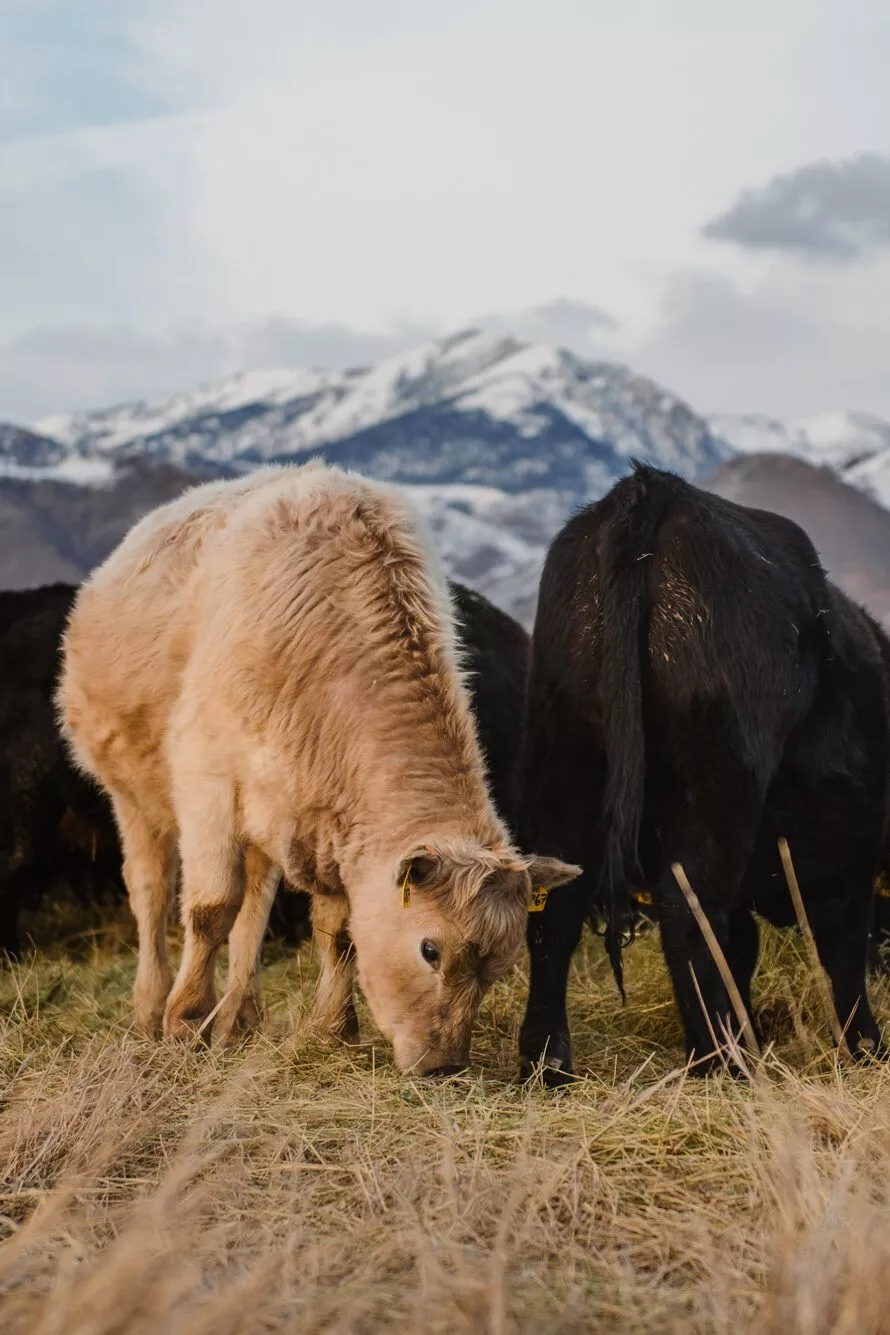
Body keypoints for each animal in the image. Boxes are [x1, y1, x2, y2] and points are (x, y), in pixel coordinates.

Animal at [58, 463, 577, 1072]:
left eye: (501, 964)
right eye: (429, 949)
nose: (445, 1066)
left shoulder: (325, 821)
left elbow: (337, 933)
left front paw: (331, 1030)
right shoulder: (208, 786)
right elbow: (211, 909)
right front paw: (184, 1021)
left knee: (254, 908)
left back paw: (241, 1017)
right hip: (134, 796)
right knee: (153, 893)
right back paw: (150, 1008)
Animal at [517, 463, 889, 1081]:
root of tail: (654, 488)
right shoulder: (850, 851)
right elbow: (841, 951)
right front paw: (865, 1048)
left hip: (565, 763)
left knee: (555, 912)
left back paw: (548, 1064)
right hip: (718, 784)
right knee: (690, 913)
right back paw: (723, 1061)